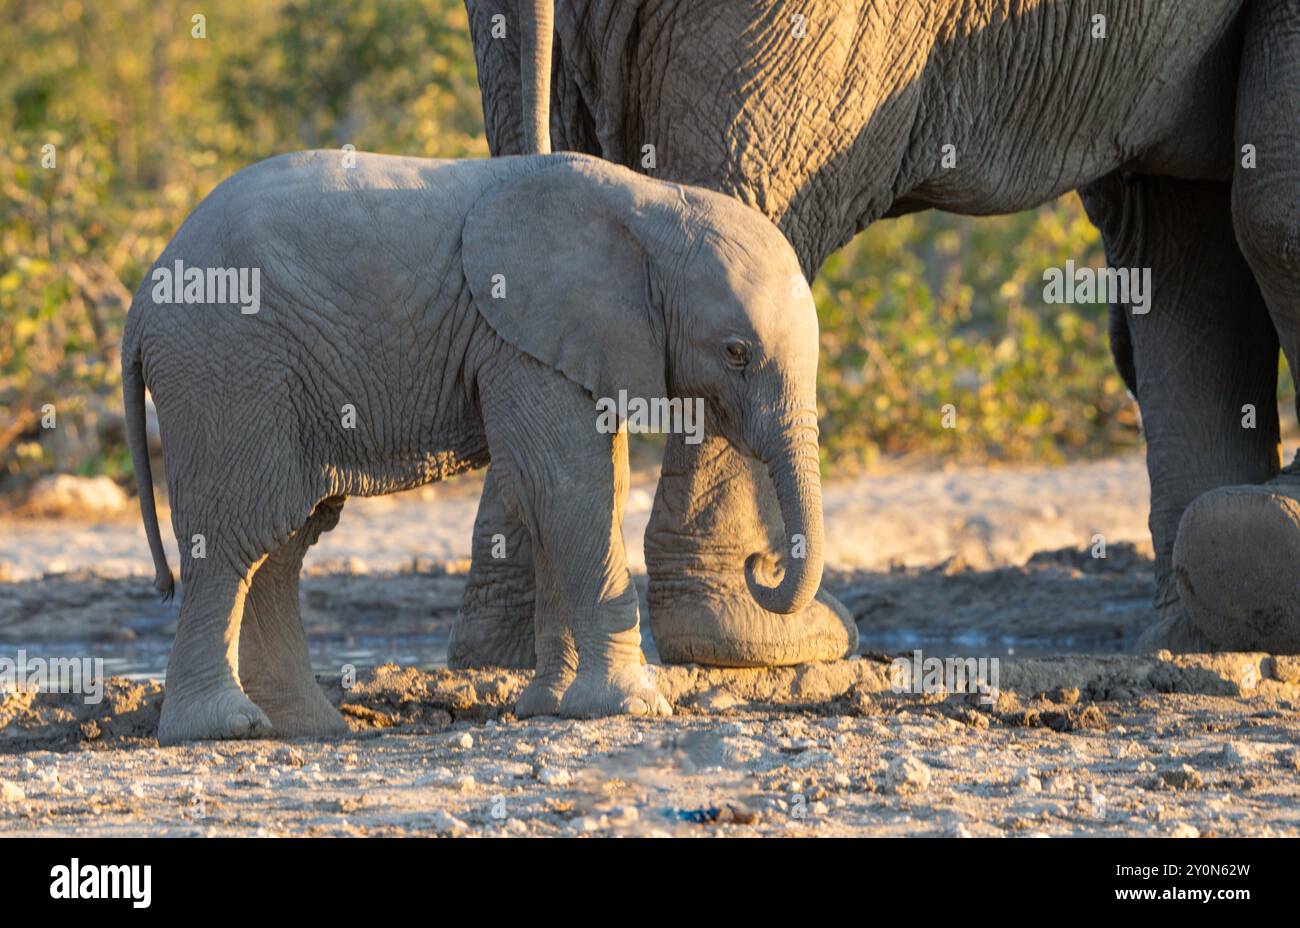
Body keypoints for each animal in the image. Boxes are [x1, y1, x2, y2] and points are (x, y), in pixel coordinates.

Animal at [123, 149, 831, 743]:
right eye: (736, 352)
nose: (760, 565)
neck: (651, 204)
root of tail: (142, 295)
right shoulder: (519, 334)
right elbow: (569, 487)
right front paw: (632, 706)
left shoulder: (561, 339)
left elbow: (569, 488)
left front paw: (550, 706)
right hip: (225, 369)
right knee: (237, 533)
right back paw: (223, 728)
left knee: (284, 541)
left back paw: (311, 728)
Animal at [457, 0, 1300, 663]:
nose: (769, 567)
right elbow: (1259, 218)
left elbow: (1185, 240)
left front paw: (1197, 637)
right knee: (751, 213)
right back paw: (770, 641)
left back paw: (510, 656)